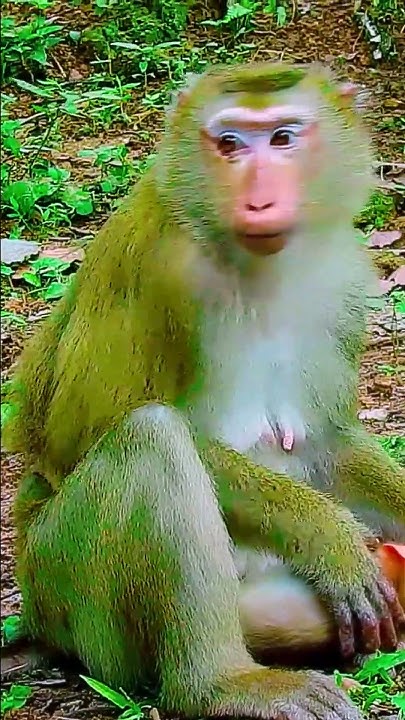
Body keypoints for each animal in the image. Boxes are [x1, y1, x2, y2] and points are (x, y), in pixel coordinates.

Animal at [3, 62, 405, 720]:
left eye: (283, 138)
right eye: (229, 143)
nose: (258, 198)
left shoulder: (343, 277)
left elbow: (328, 444)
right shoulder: (157, 268)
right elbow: (79, 436)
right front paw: (332, 538)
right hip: (69, 591)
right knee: (151, 438)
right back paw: (220, 685)